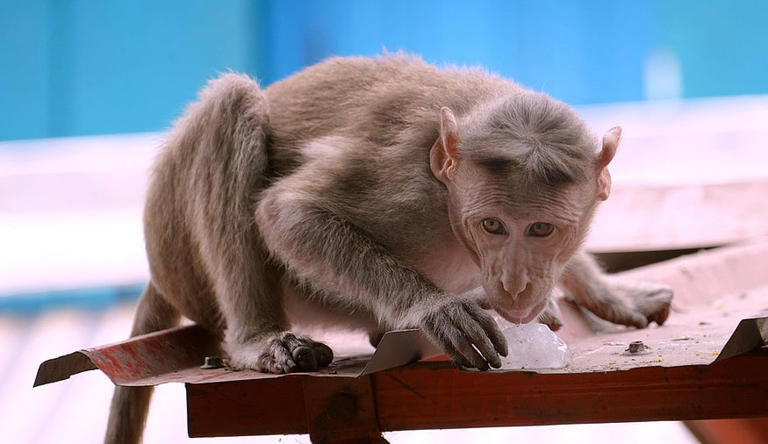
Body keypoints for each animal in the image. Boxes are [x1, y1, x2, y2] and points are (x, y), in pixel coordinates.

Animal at [104, 54, 672, 443]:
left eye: (541, 230)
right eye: (492, 226)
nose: (515, 284)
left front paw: (609, 293)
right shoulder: (405, 188)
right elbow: (288, 213)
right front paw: (434, 309)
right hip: (180, 252)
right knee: (232, 102)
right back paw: (258, 338)